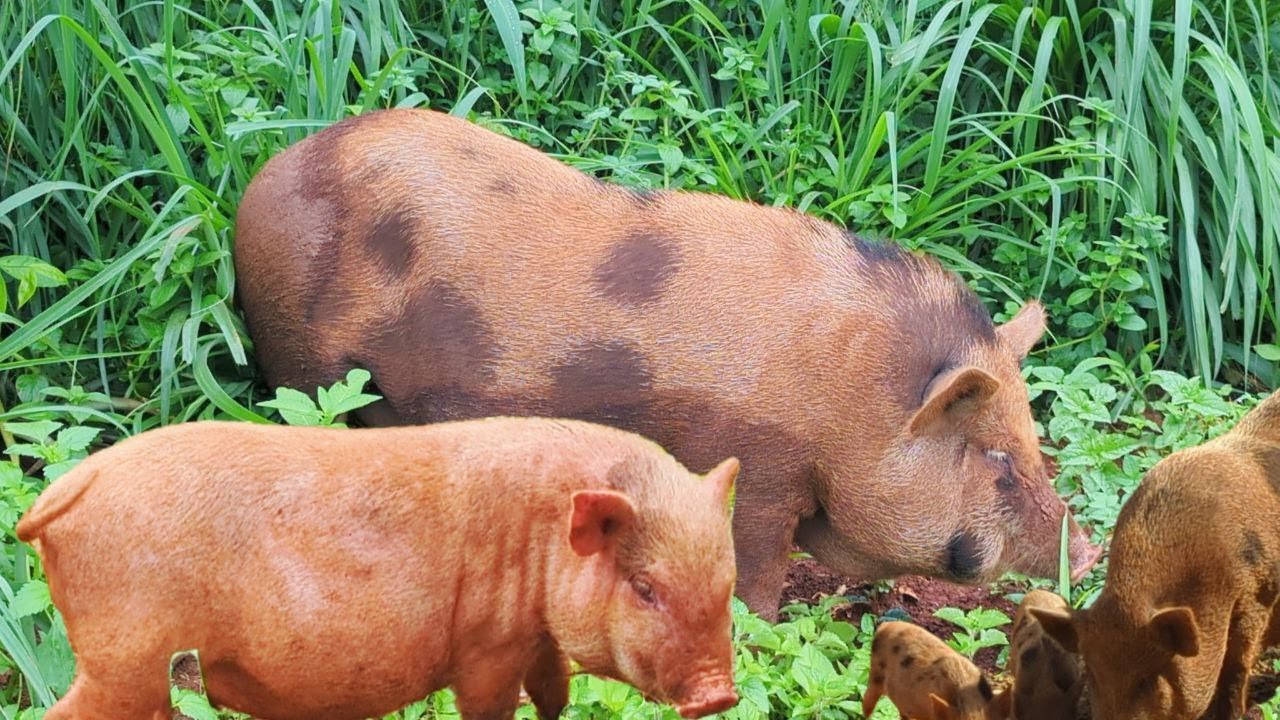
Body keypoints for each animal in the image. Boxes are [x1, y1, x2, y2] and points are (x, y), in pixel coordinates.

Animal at [15, 418, 741, 720]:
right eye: (645, 588)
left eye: (727, 585)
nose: (720, 695)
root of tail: (63, 491)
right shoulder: (487, 648)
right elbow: (490, 705)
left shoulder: (537, 641)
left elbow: (555, 698)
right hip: (124, 659)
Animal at [232, 108, 1101, 620]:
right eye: (996, 457)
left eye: (1033, 444)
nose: (1089, 550)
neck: (850, 393)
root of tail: (268, 175)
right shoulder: (760, 470)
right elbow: (756, 571)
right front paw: (756, 634)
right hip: (297, 365)